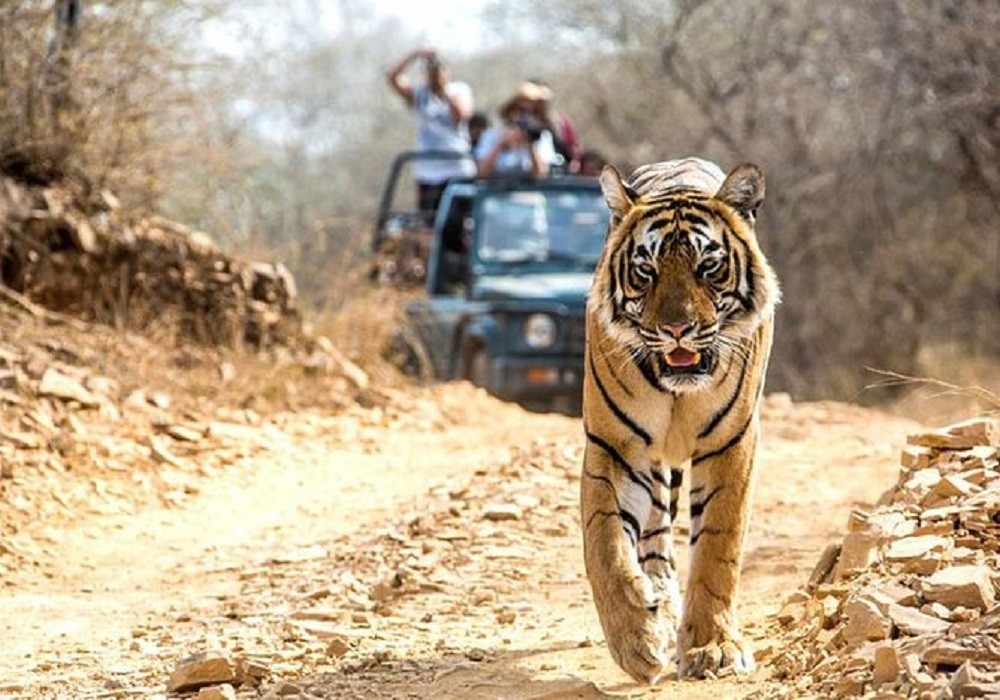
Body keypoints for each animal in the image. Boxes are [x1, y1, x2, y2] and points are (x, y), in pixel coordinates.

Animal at [581, 157, 779, 682]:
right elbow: (604, 544)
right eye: (645, 271)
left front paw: (714, 648)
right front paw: (636, 639)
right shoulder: (615, 446)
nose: (676, 329)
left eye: (707, 267)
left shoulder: (732, 443)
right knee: (653, 538)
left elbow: (716, 549)